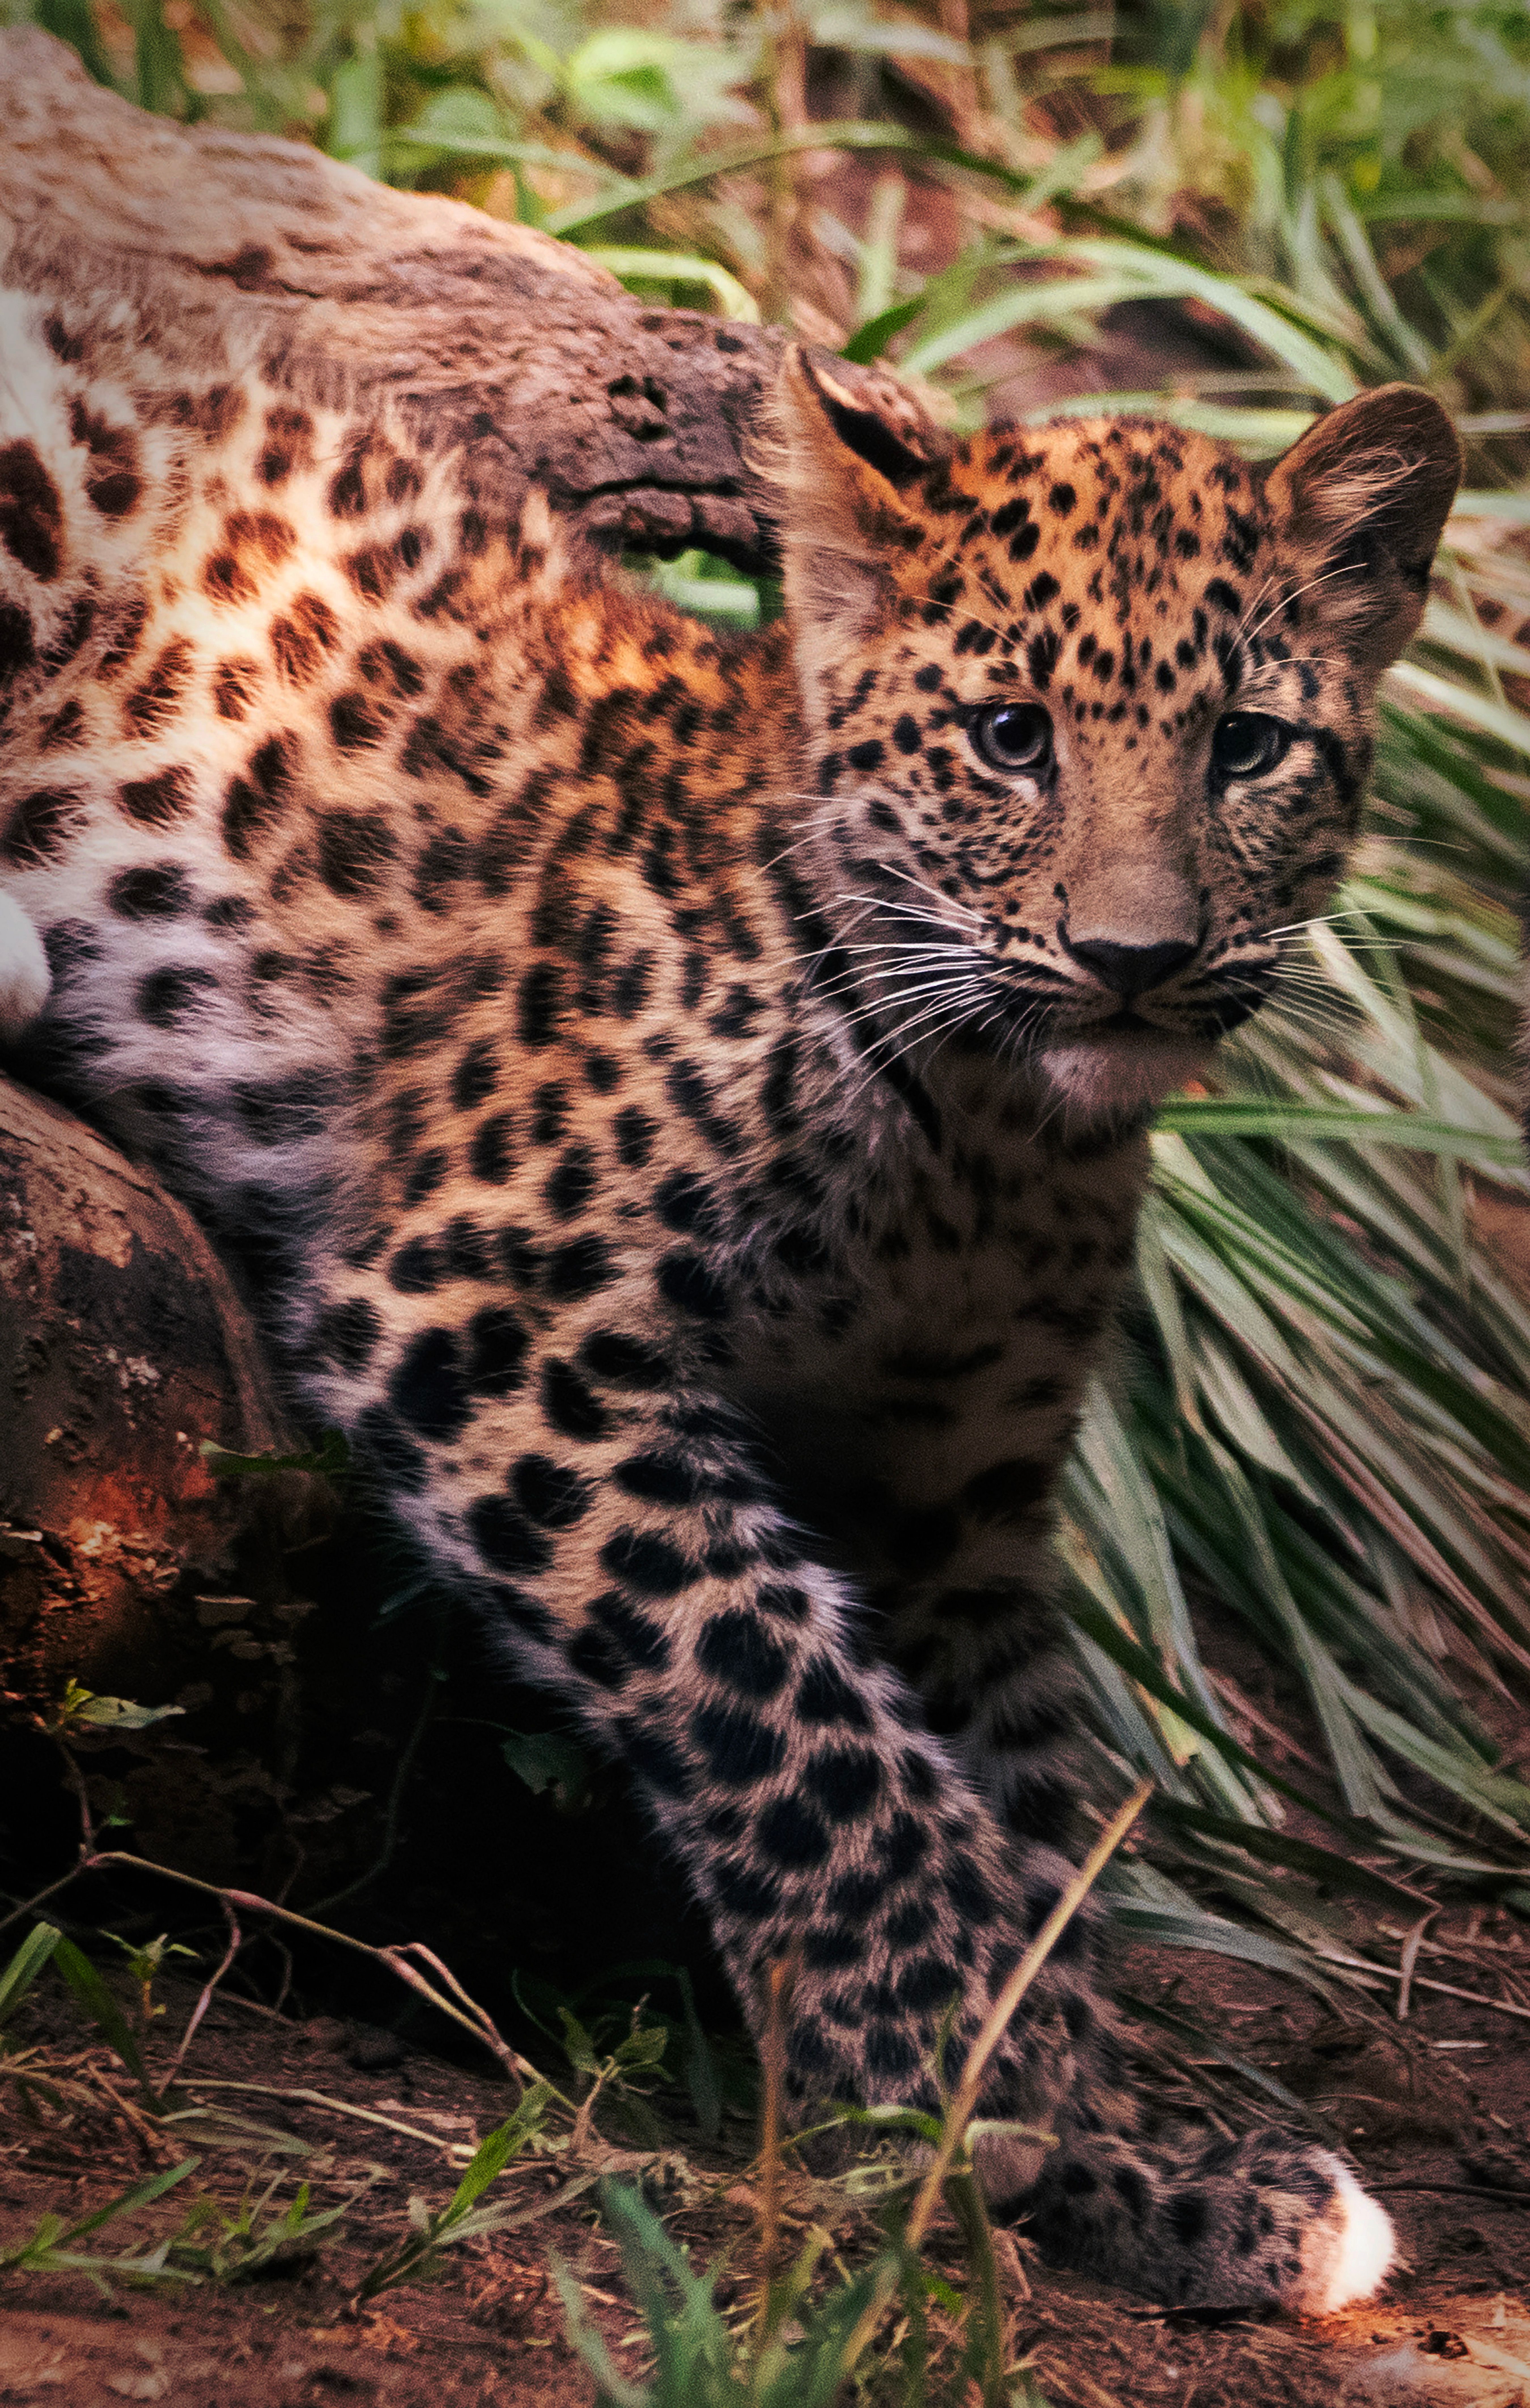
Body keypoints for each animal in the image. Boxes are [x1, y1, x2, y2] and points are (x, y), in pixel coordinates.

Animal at [0, 267, 1461, 2310]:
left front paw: (1157, 2173)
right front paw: (977, 2070)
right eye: (1007, 735)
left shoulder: (955, 1510)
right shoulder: (490, 1301)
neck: (983, 1141)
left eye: (1245, 749)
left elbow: (1030, 1810)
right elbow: (801, 1718)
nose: (1132, 959)